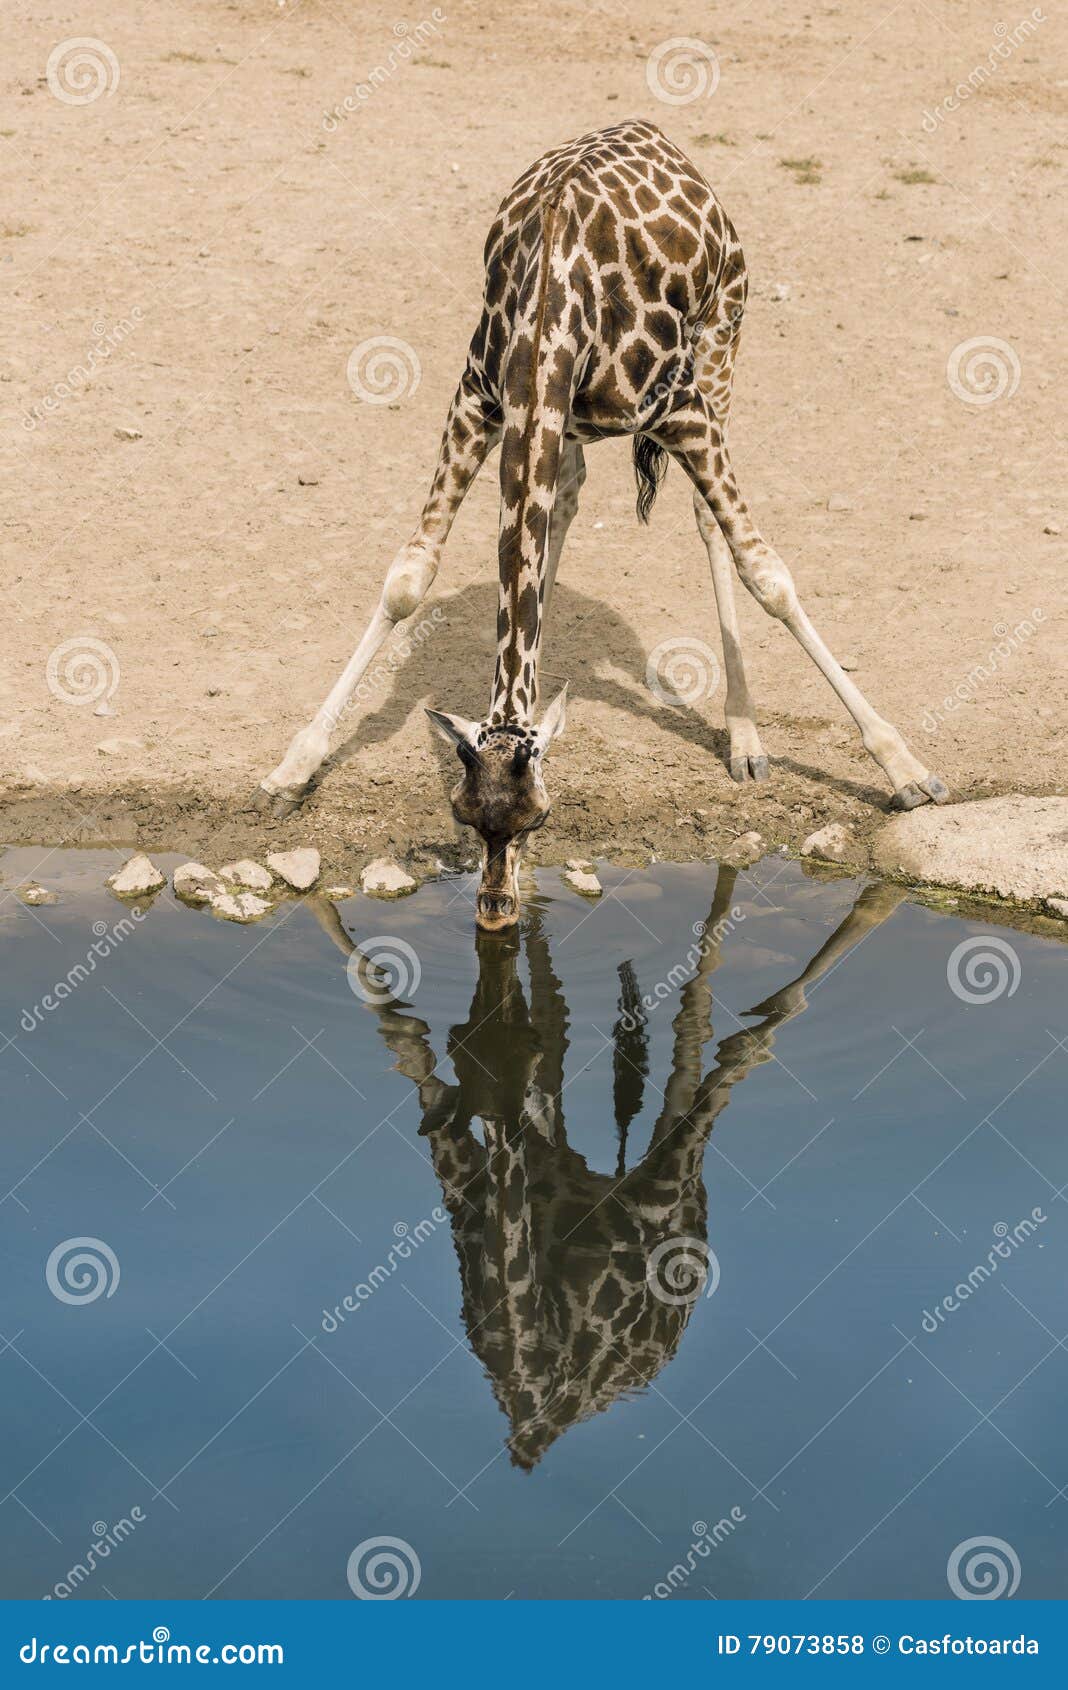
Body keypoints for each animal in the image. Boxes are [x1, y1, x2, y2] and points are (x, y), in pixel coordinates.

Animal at [258, 121, 948, 930]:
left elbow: (767, 572)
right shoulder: (481, 402)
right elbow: (410, 575)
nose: (495, 913)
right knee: (565, 504)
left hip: (722, 337)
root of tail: (655, 133)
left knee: (707, 522)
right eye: (465, 813)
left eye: (540, 817)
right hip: (574, 424)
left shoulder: (679, 408)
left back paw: (746, 739)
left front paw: (906, 770)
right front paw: (291, 768)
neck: (551, 312)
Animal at [311, 870, 907, 1470]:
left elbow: (742, 1036)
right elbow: (403, 1032)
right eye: (467, 1045)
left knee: (696, 1026)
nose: (495, 912)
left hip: (674, 1172)